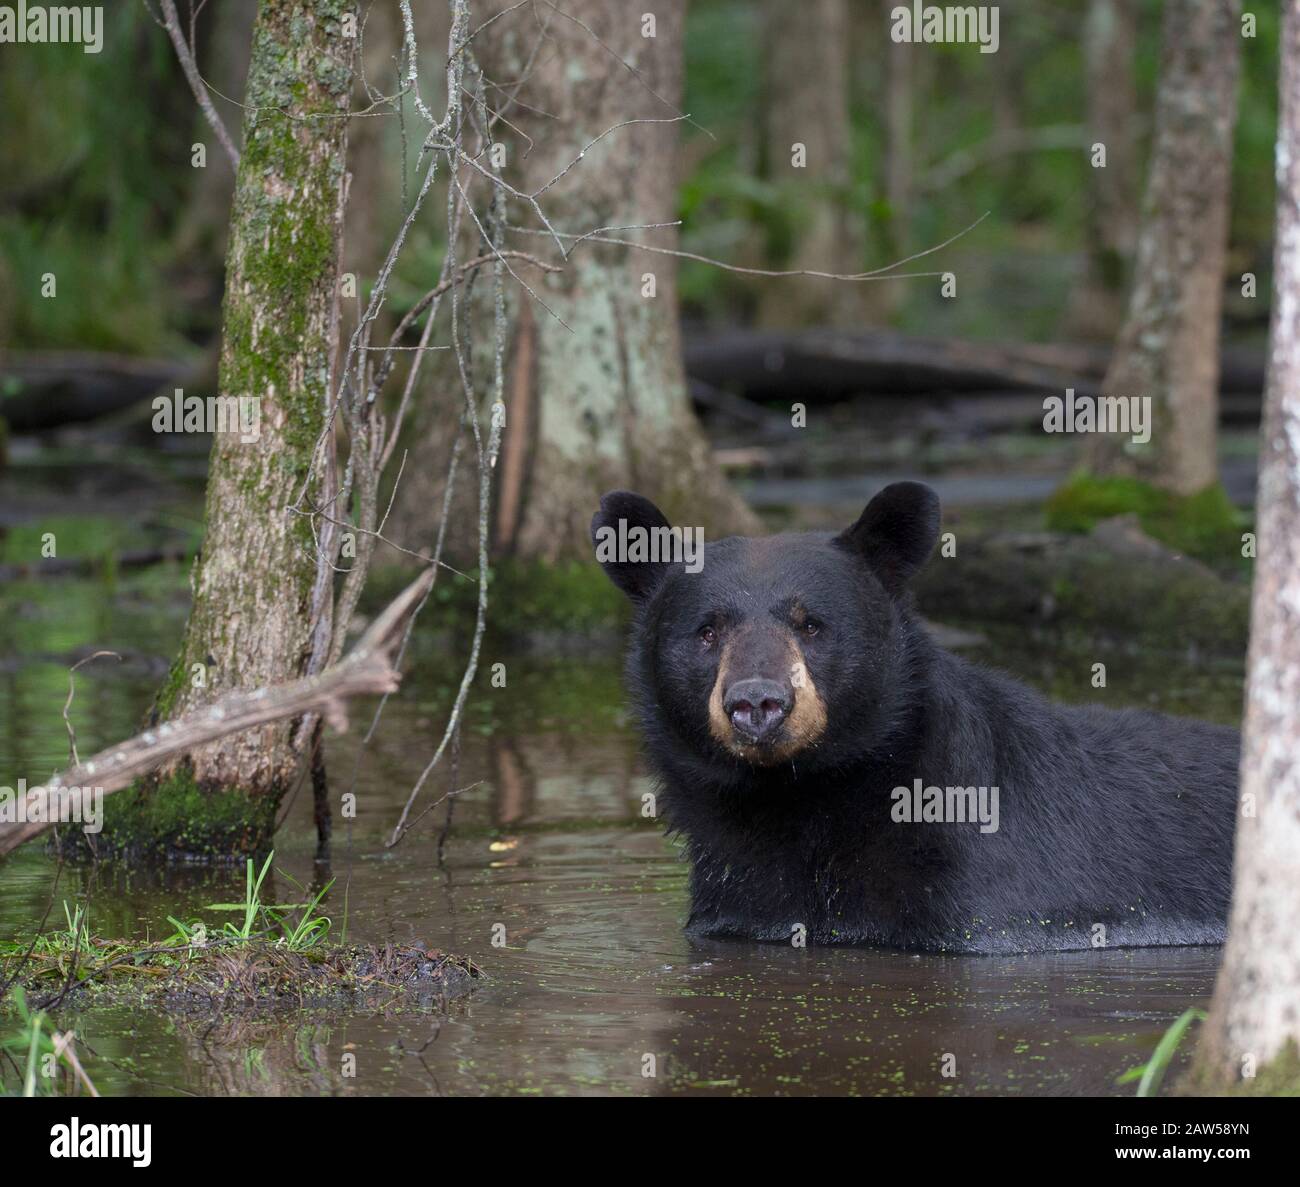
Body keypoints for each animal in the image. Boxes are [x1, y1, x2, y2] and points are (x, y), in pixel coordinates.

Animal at [591, 481, 1239, 954]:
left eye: (811, 624)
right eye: (708, 630)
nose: (758, 703)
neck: (803, 796)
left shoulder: (996, 906)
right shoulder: (735, 896)